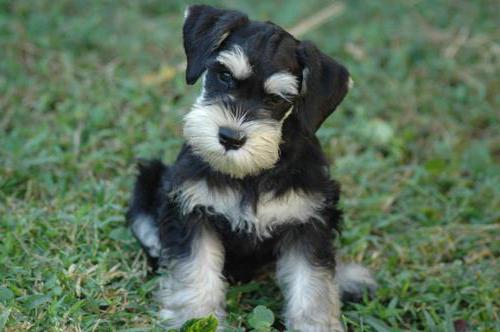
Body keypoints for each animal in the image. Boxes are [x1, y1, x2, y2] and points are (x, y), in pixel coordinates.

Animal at [128, 5, 376, 332]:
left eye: (276, 99)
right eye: (224, 75)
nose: (230, 138)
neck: (252, 175)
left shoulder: (309, 221)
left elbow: (312, 283)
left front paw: (315, 323)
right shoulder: (192, 210)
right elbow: (196, 270)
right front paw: (196, 317)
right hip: (151, 176)